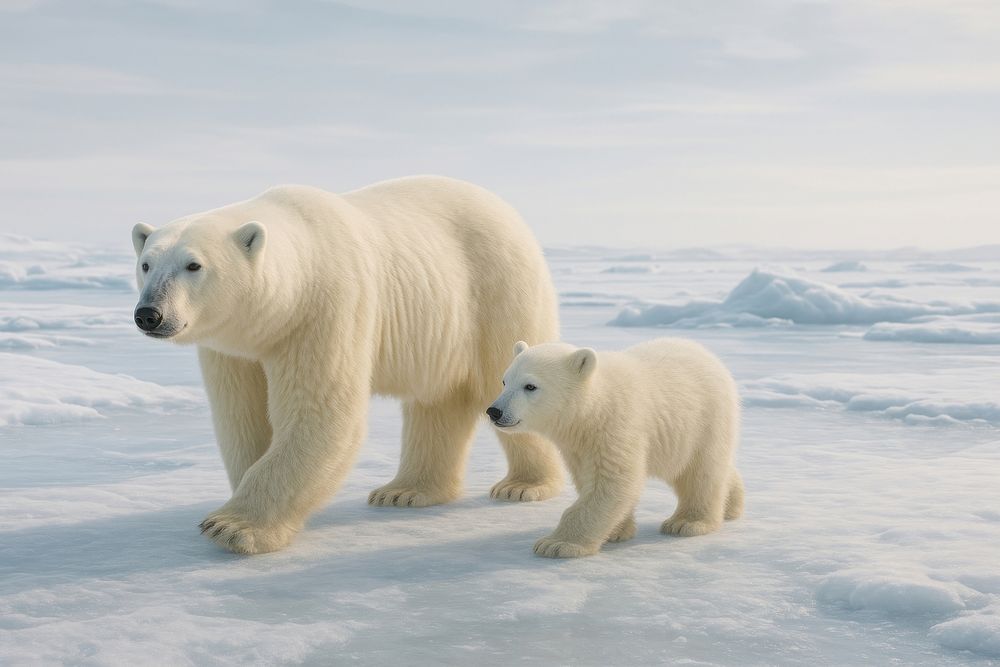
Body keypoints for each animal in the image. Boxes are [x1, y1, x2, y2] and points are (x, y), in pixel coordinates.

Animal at [131, 176, 564, 554]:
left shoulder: (325, 307)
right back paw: (405, 491)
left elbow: (319, 413)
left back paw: (523, 486)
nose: (149, 314)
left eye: (193, 265)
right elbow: (241, 417)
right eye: (146, 264)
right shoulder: (234, 346)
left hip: (497, 291)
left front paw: (231, 527)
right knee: (437, 402)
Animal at [487, 338, 743, 558]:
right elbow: (590, 480)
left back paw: (687, 522)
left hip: (705, 419)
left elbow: (612, 481)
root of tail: (709, 355)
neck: (592, 408)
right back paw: (732, 504)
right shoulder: (578, 445)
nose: (494, 411)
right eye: (504, 381)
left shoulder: (616, 426)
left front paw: (557, 544)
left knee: (700, 472)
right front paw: (618, 531)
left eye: (530, 386)